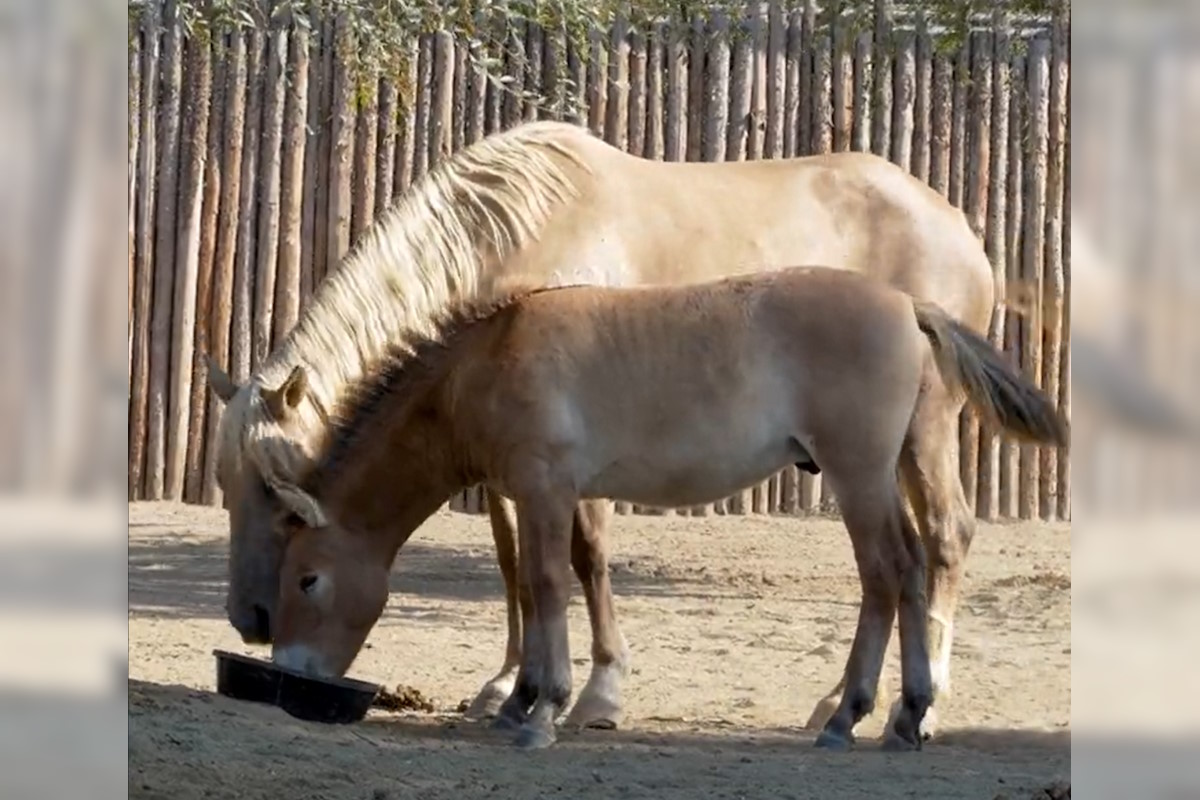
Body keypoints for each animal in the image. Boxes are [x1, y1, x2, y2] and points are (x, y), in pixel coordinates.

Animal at [268, 267, 1068, 751]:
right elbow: (538, 582)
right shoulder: (541, 496)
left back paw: (853, 715)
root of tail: (906, 305)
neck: (487, 359)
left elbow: (549, 585)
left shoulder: (546, 488)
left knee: (887, 573)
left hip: (859, 475)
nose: (291, 675)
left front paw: (543, 711)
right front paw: (520, 702)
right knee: (911, 569)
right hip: (893, 465)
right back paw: (903, 715)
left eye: (307, 579)